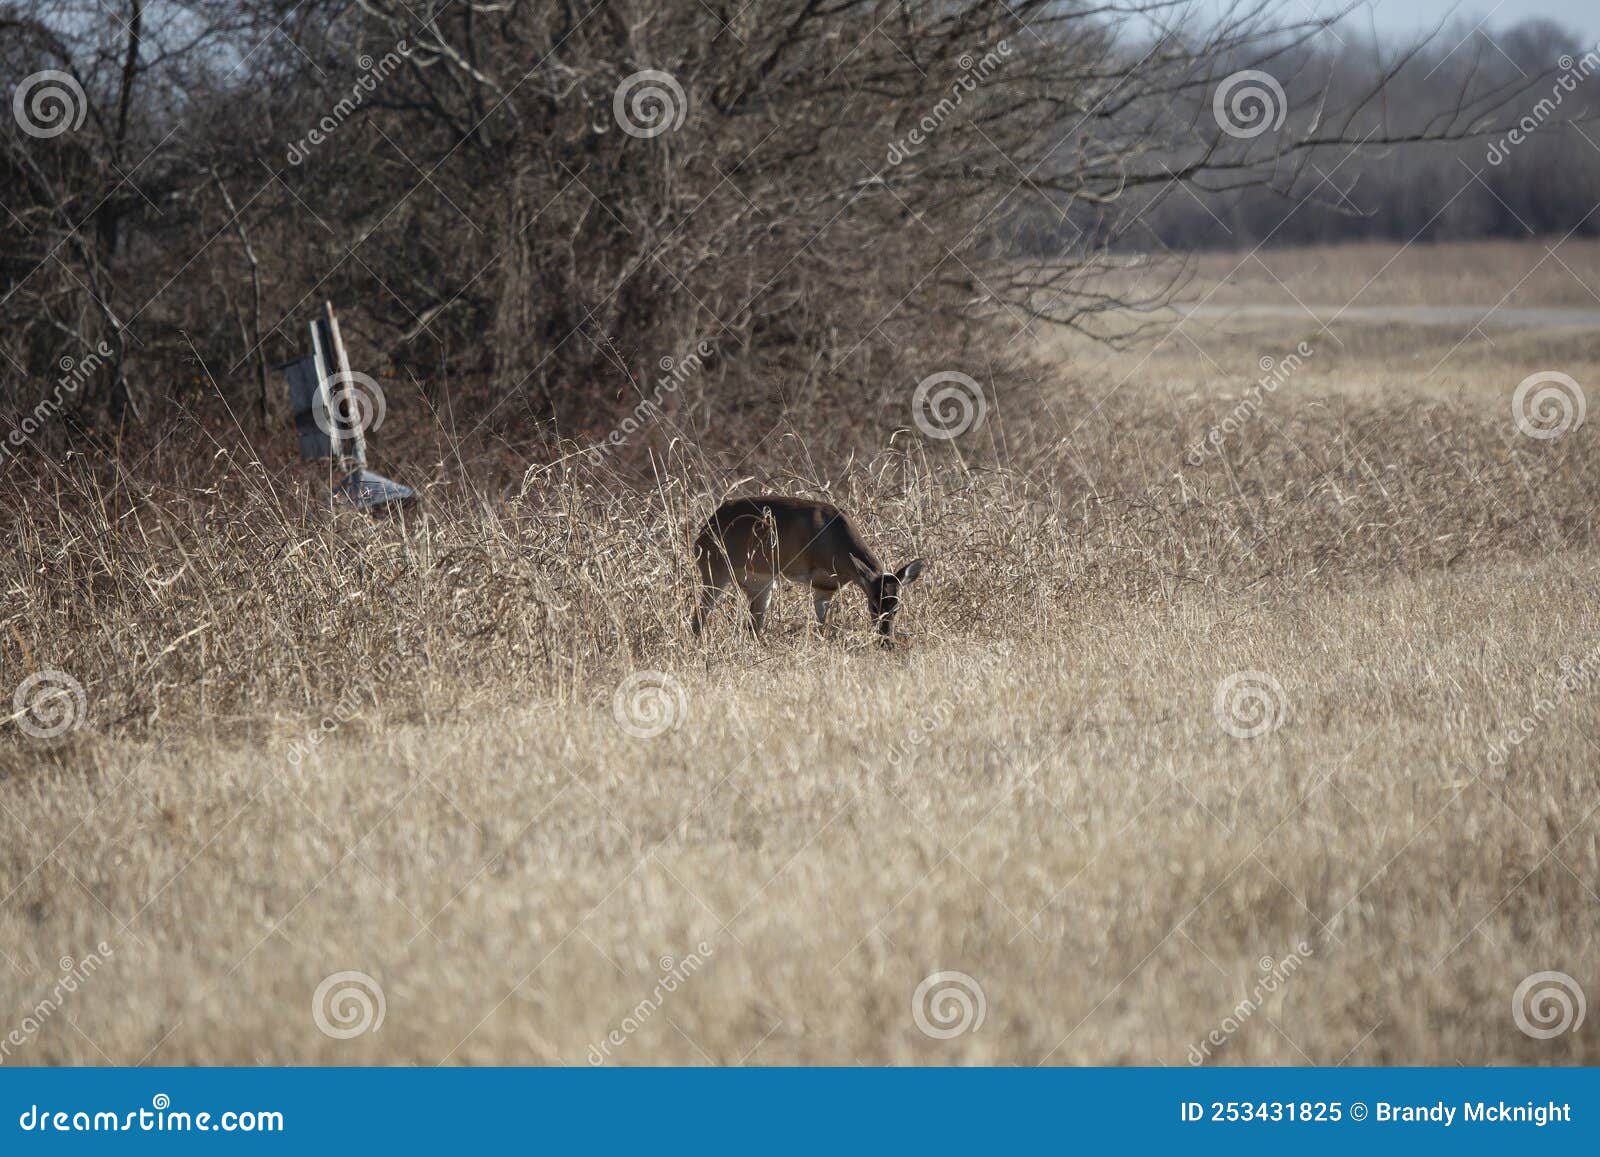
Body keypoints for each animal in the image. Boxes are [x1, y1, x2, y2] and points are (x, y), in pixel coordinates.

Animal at [690, 495, 926, 642]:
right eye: (873, 605)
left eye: (896, 607)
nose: (886, 639)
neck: (834, 538)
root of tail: (702, 535)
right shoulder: (821, 582)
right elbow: (823, 625)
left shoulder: (827, 586)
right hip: (716, 573)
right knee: (699, 615)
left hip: (762, 583)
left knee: (754, 626)